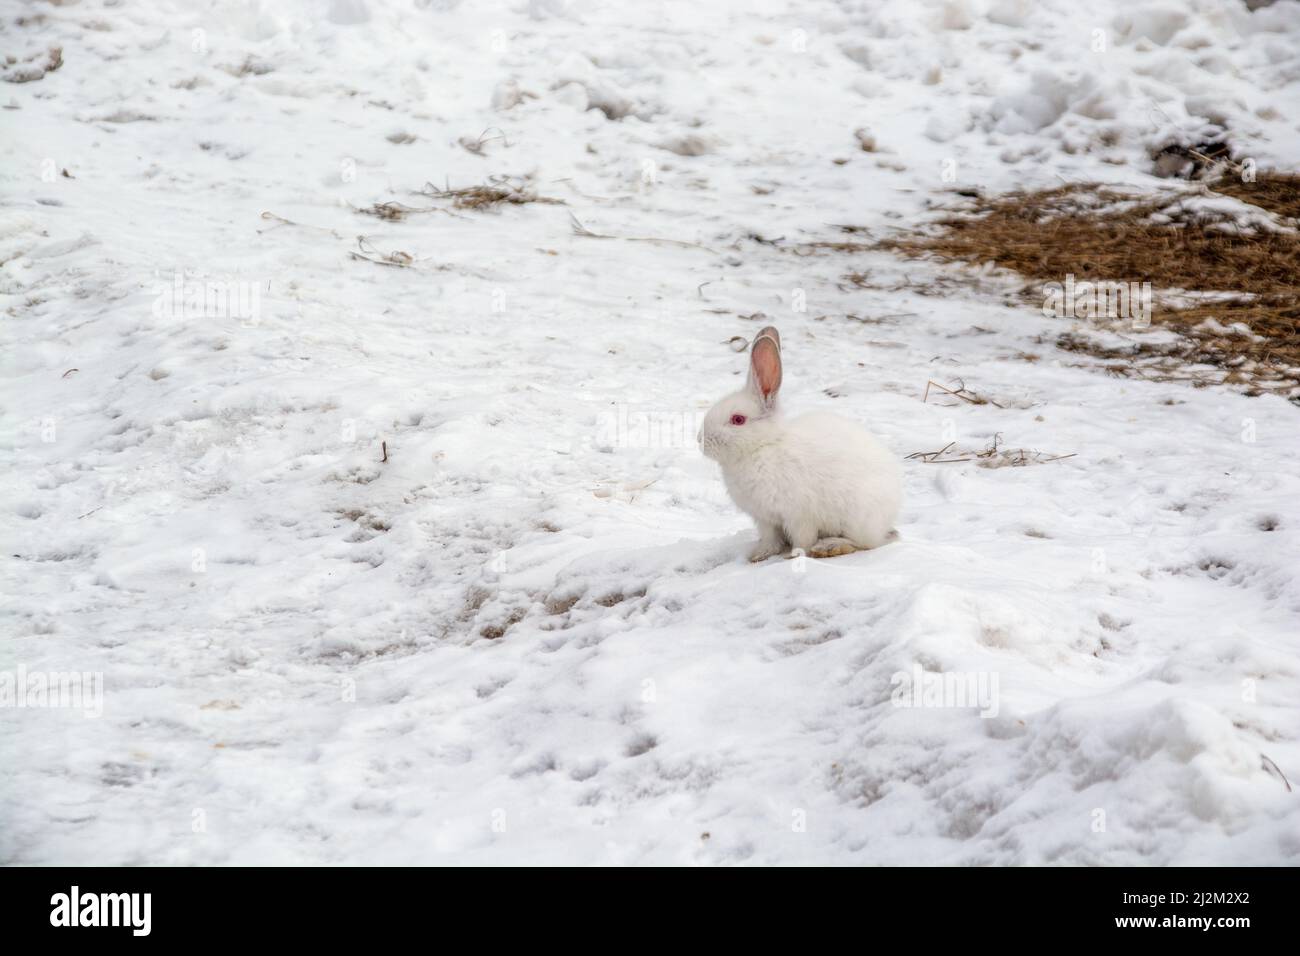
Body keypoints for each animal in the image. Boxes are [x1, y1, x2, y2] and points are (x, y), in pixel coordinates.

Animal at [697, 326, 902, 562]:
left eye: (738, 420)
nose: (700, 440)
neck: (763, 446)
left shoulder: (799, 516)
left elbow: (802, 539)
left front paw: (793, 555)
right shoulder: (766, 520)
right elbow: (770, 539)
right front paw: (759, 555)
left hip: (859, 517)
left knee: (866, 543)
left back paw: (830, 546)